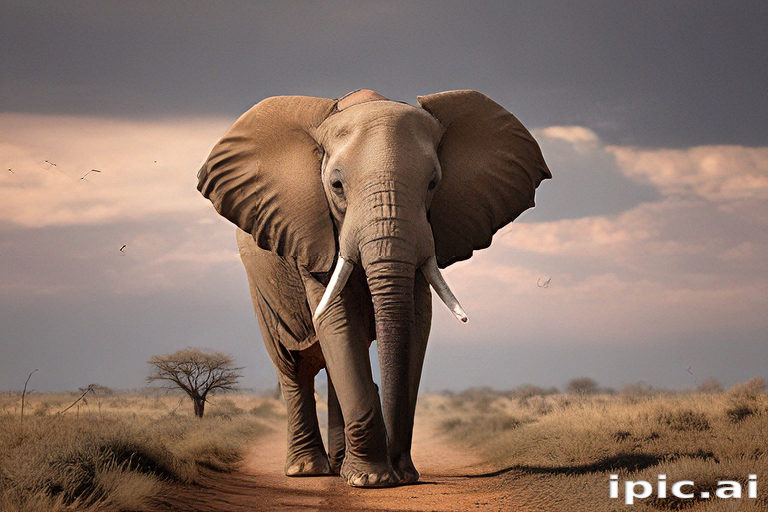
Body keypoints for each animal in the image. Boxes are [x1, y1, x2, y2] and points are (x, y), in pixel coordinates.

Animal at [197, 89, 550, 487]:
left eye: (433, 184)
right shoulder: (312, 233)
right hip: (261, 286)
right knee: (292, 366)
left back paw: (338, 467)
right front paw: (373, 480)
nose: (400, 468)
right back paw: (308, 471)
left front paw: (396, 475)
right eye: (336, 185)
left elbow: (416, 319)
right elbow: (337, 319)